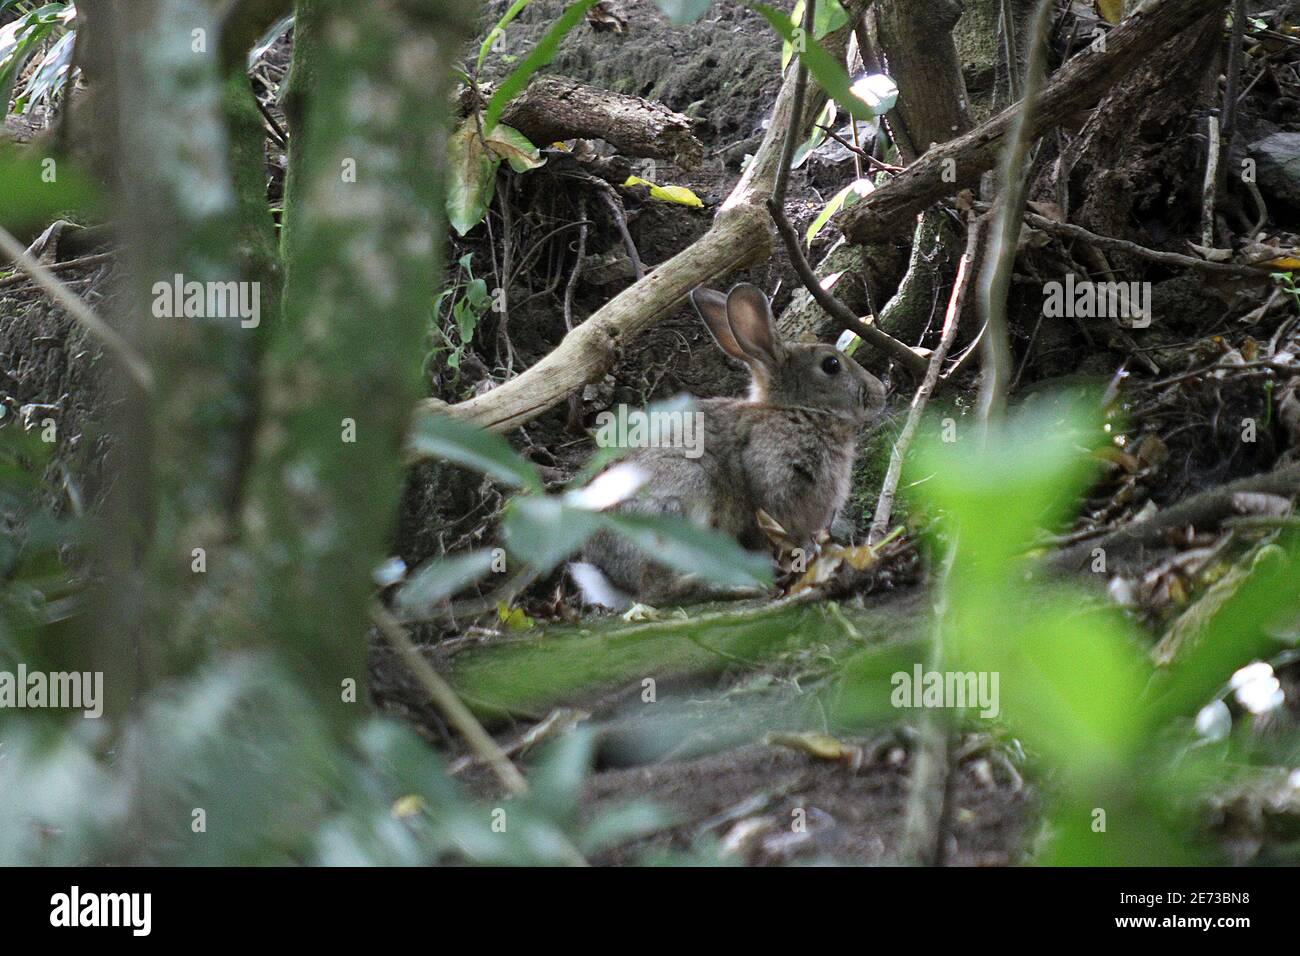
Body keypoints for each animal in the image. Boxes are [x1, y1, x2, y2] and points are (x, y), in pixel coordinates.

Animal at [572, 282, 887, 609]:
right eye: (831, 365)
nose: (881, 391)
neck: (796, 410)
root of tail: (609, 576)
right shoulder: (771, 487)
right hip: (680, 505)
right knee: (657, 592)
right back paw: (740, 587)